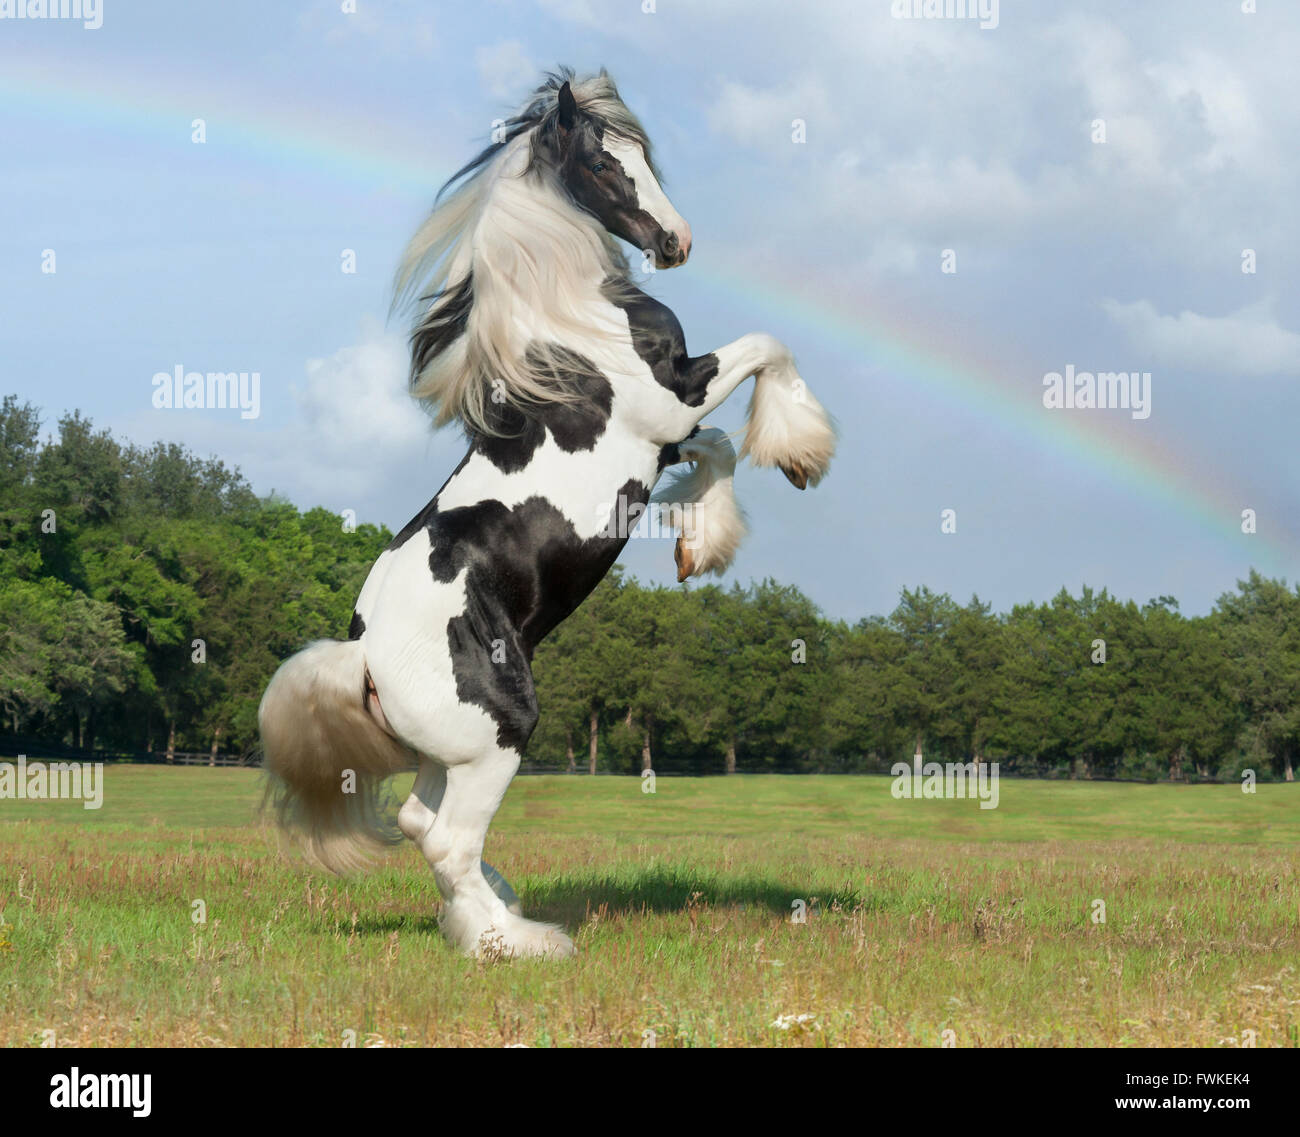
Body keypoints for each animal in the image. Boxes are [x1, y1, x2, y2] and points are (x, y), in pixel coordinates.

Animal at [259, 69, 836, 959]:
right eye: (603, 163)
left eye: (643, 154)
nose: (677, 241)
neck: (571, 325)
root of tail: (360, 656)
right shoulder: (673, 398)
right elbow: (767, 346)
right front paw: (803, 447)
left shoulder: (667, 435)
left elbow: (717, 450)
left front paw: (701, 542)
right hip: (501, 728)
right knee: (448, 838)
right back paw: (518, 944)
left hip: (451, 751)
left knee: (422, 823)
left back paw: (498, 917)